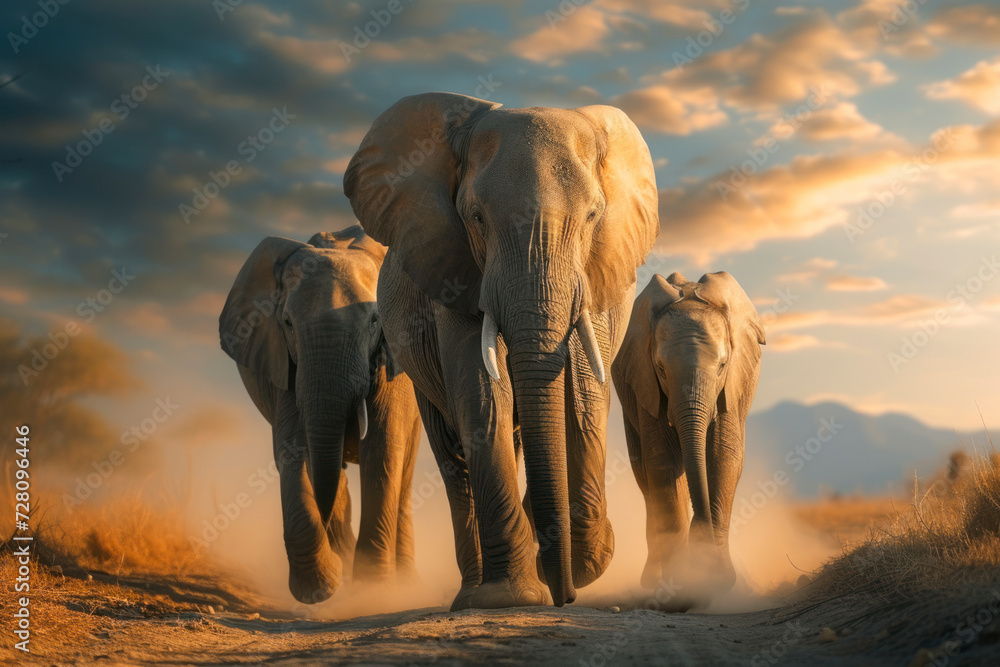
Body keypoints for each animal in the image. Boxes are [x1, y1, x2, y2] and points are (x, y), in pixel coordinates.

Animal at [219, 226, 421, 604]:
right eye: (287, 322)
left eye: (375, 321)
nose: (341, 567)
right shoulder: (283, 359)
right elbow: (293, 448)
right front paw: (321, 588)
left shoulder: (394, 356)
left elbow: (383, 446)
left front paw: (374, 591)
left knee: (403, 470)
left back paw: (405, 582)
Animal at [344, 93, 659, 608]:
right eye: (476, 217)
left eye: (593, 217)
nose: (565, 597)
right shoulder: (452, 267)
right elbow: (481, 394)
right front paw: (513, 597)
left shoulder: (598, 275)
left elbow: (584, 393)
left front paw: (584, 559)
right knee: (454, 458)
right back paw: (475, 593)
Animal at [611, 271, 764, 601]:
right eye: (661, 369)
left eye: (722, 366)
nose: (700, 529)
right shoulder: (646, 384)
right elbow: (663, 464)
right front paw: (681, 581)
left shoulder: (733, 386)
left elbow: (724, 457)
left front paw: (713, 576)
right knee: (645, 476)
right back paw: (651, 579)